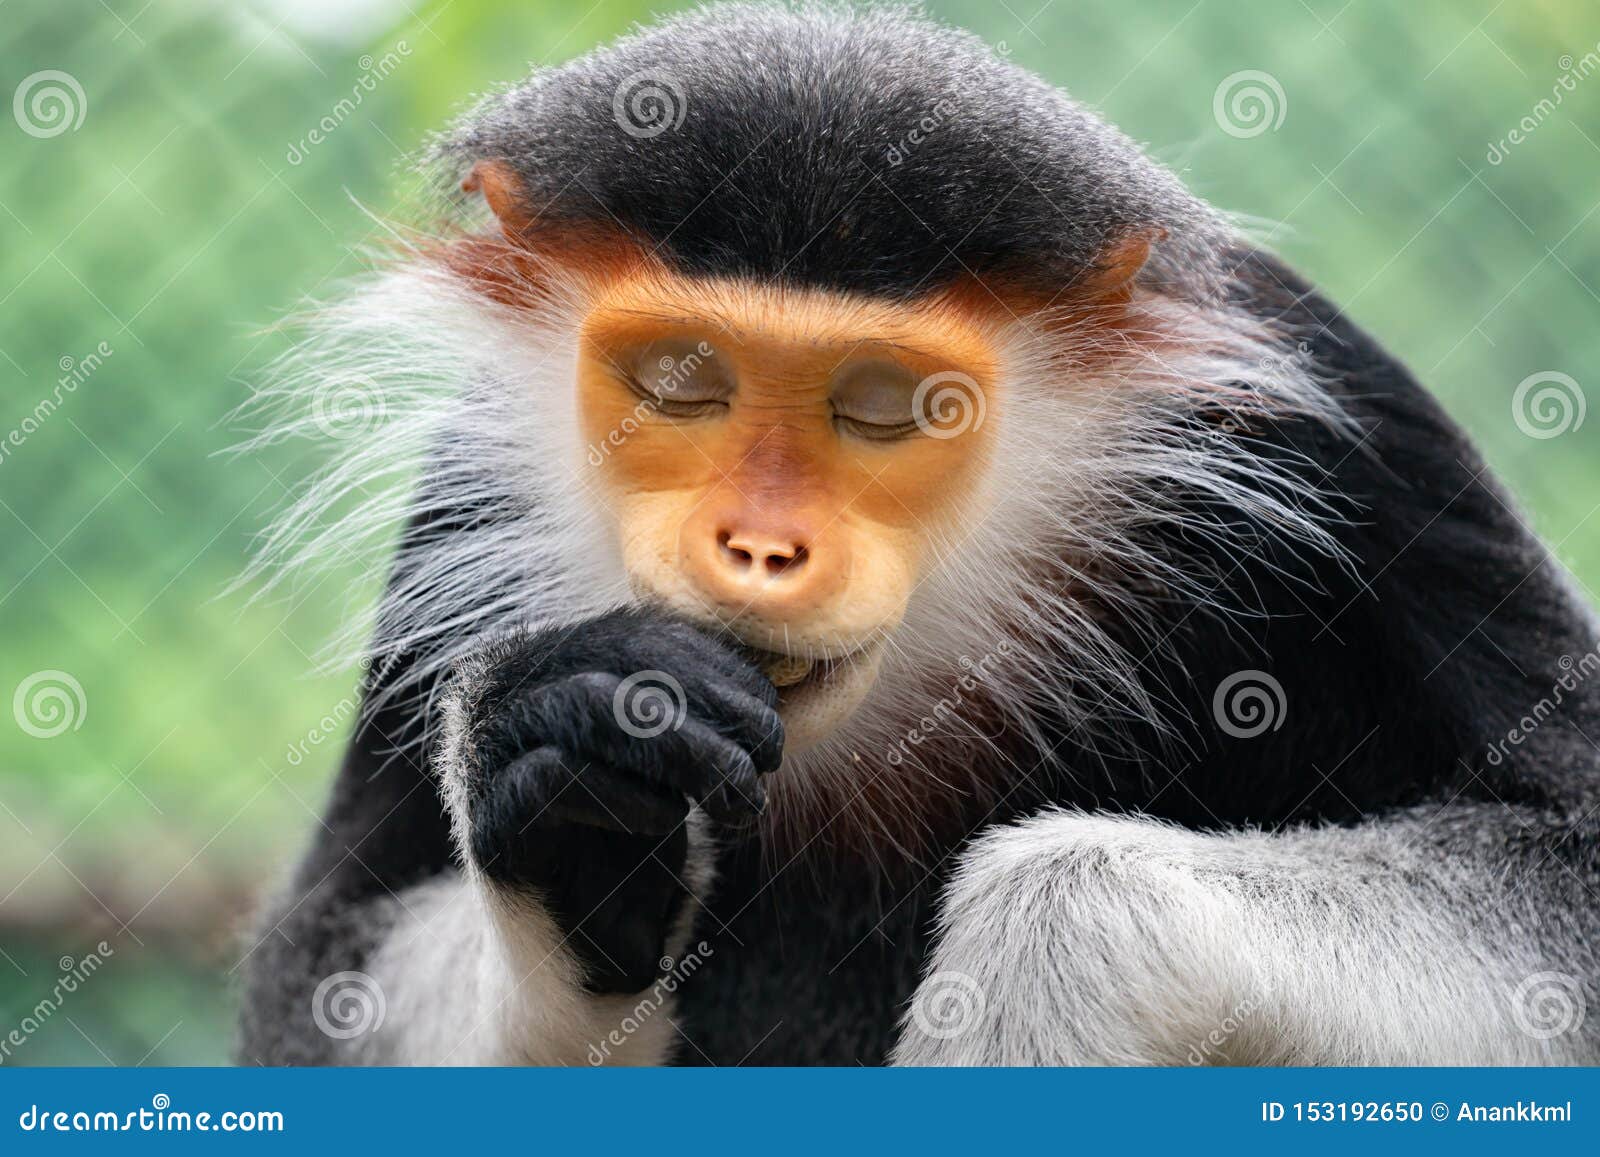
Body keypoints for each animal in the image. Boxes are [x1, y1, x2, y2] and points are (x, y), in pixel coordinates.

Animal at [237, 3, 1600, 1065]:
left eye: (888, 408)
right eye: (682, 384)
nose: (759, 546)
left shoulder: (1337, 425)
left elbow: (1568, 874)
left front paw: (1050, 958)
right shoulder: (464, 483)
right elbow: (313, 986)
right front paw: (567, 777)